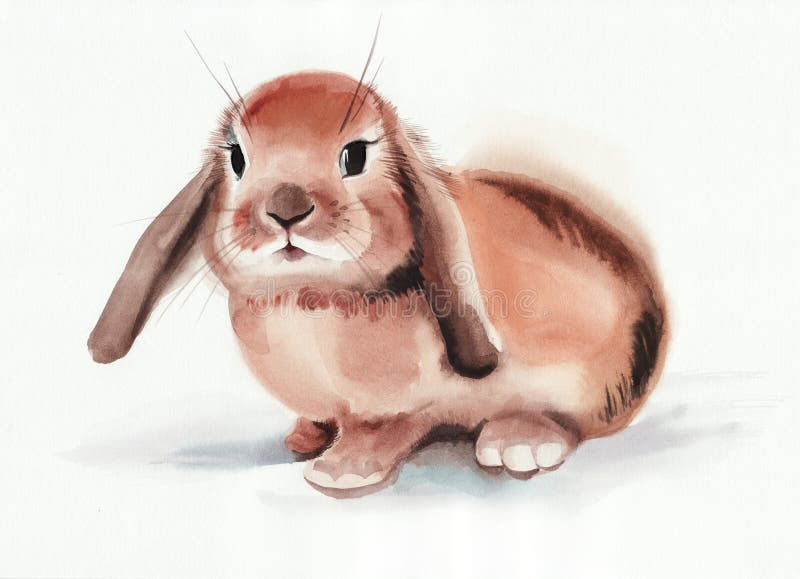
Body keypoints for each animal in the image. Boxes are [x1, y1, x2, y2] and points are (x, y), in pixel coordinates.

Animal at [88, 70, 667, 496]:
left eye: (356, 156)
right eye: (236, 158)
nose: (286, 208)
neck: (308, 295)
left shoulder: (410, 404)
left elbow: (386, 428)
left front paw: (340, 470)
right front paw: (306, 438)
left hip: (582, 383)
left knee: (573, 424)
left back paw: (516, 444)